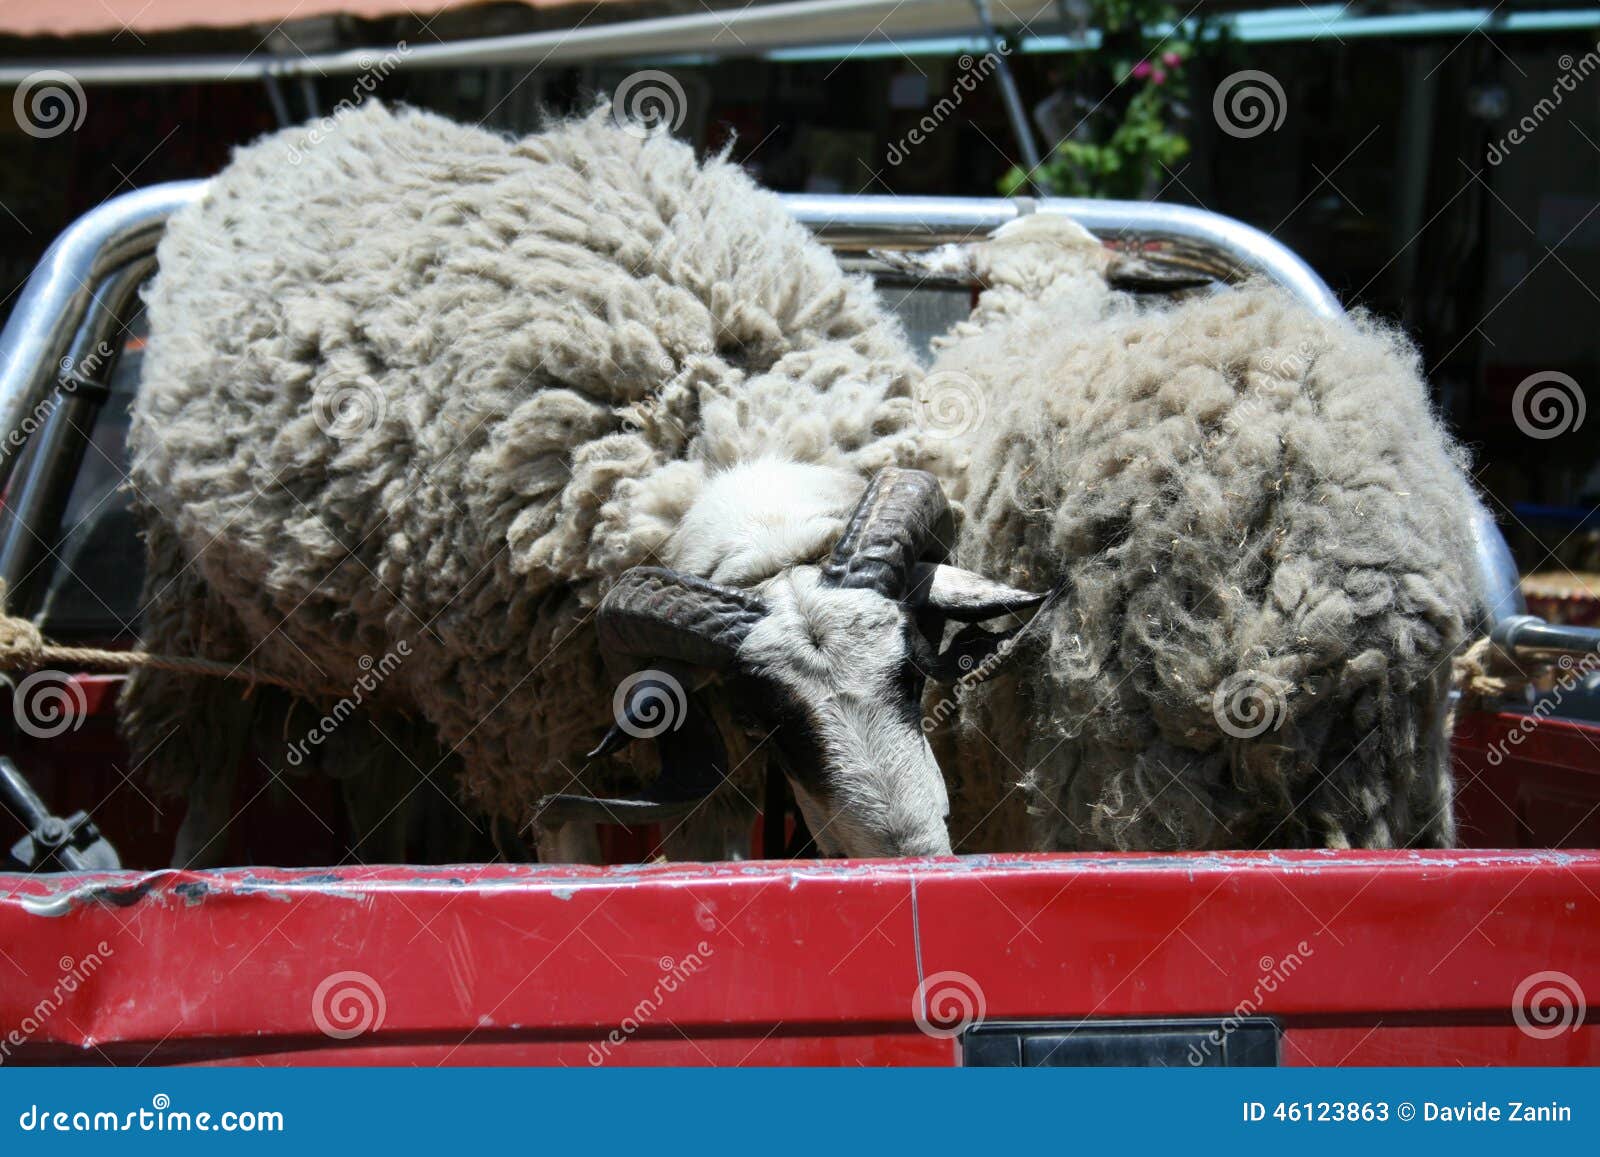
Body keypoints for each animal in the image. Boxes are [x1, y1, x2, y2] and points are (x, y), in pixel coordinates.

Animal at [121, 100, 1039, 865]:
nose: (913, 858)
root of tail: (301, 134)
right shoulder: (537, 740)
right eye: (761, 712)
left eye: (912, 670)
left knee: (372, 771)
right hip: (200, 614)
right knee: (209, 769)